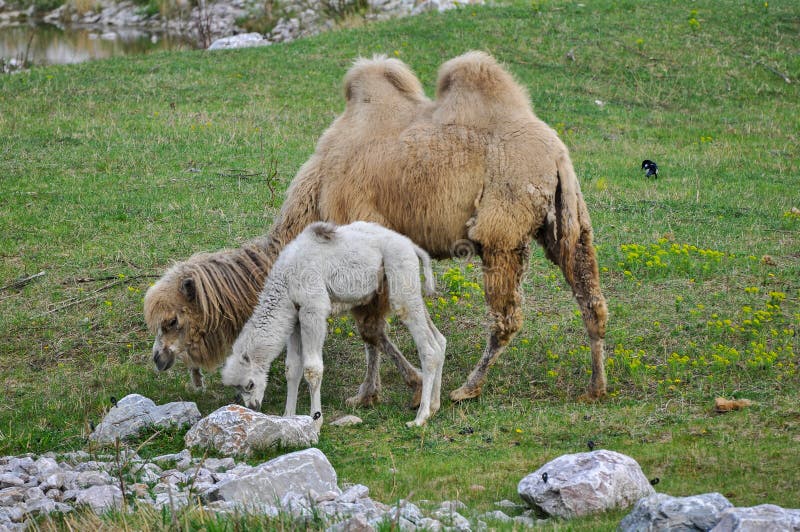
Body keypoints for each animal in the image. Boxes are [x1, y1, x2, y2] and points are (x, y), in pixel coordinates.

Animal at [144, 51, 607, 405]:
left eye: (172, 321)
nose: (158, 359)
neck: (318, 187)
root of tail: (555, 154)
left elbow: (370, 328)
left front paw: (388, 390)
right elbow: (372, 329)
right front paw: (386, 388)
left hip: (502, 232)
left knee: (507, 317)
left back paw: (466, 388)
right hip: (568, 223)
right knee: (590, 297)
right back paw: (595, 386)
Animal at [221, 221, 446, 428]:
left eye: (250, 384)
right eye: (238, 388)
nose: (253, 405)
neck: (285, 281)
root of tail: (412, 247)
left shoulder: (313, 308)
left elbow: (312, 369)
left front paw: (316, 421)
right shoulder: (294, 316)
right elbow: (292, 368)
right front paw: (288, 418)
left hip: (400, 276)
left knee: (427, 349)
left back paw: (420, 417)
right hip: (406, 286)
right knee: (439, 340)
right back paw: (434, 406)